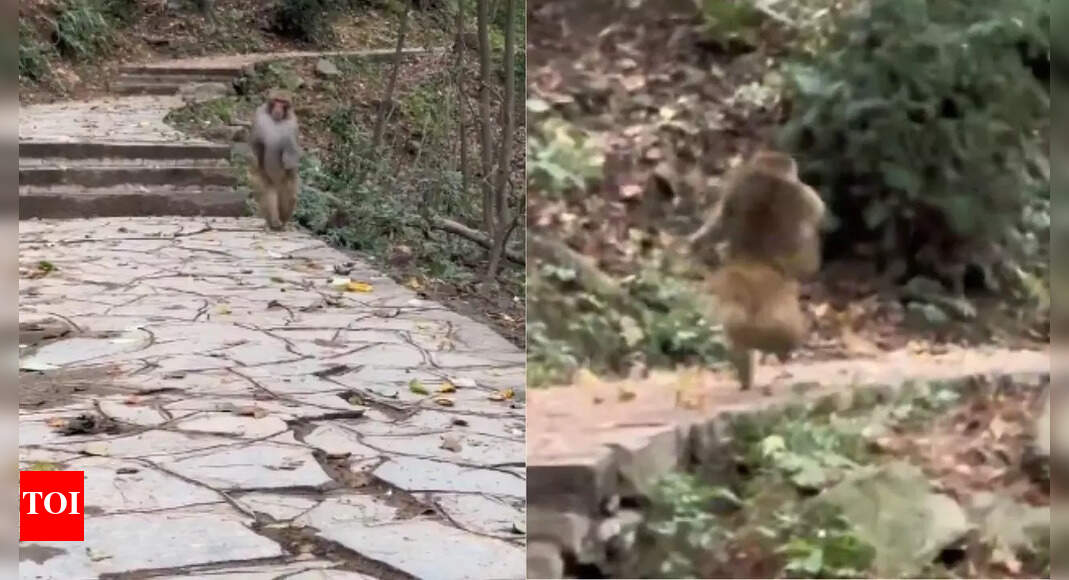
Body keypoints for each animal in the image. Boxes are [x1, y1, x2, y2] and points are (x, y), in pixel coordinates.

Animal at [248, 89, 301, 231]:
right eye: (276, 100)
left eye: (283, 102)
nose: (278, 108)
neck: (275, 120)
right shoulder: (259, 116)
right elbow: (256, 145)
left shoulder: (293, 124)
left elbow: (291, 152)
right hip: (266, 178)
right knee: (267, 192)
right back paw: (273, 222)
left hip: (285, 181)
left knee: (289, 196)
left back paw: (282, 222)